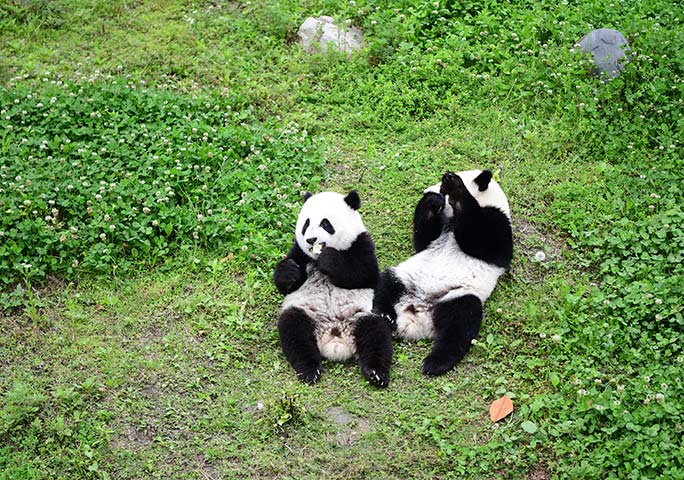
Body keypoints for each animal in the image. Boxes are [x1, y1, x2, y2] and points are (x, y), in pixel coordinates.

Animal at [273, 190, 393, 387]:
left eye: (325, 224)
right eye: (306, 224)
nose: (311, 240)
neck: (315, 258)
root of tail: (335, 337)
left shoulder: (361, 243)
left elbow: (364, 273)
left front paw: (328, 259)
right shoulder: (300, 252)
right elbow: (287, 284)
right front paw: (289, 272)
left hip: (361, 315)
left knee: (376, 334)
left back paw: (376, 373)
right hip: (306, 313)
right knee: (294, 331)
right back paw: (309, 369)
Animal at [369, 169, 513, 376]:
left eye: (440, 185)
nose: (427, 190)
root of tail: (415, 316)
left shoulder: (498, 223)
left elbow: (482, 239)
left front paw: (455, 189)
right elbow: (424, 239)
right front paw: (432, 200)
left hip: (457, 295)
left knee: (460, 325)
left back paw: (435, 363)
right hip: (406, 277)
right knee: (386, 284)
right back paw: (385, 316)